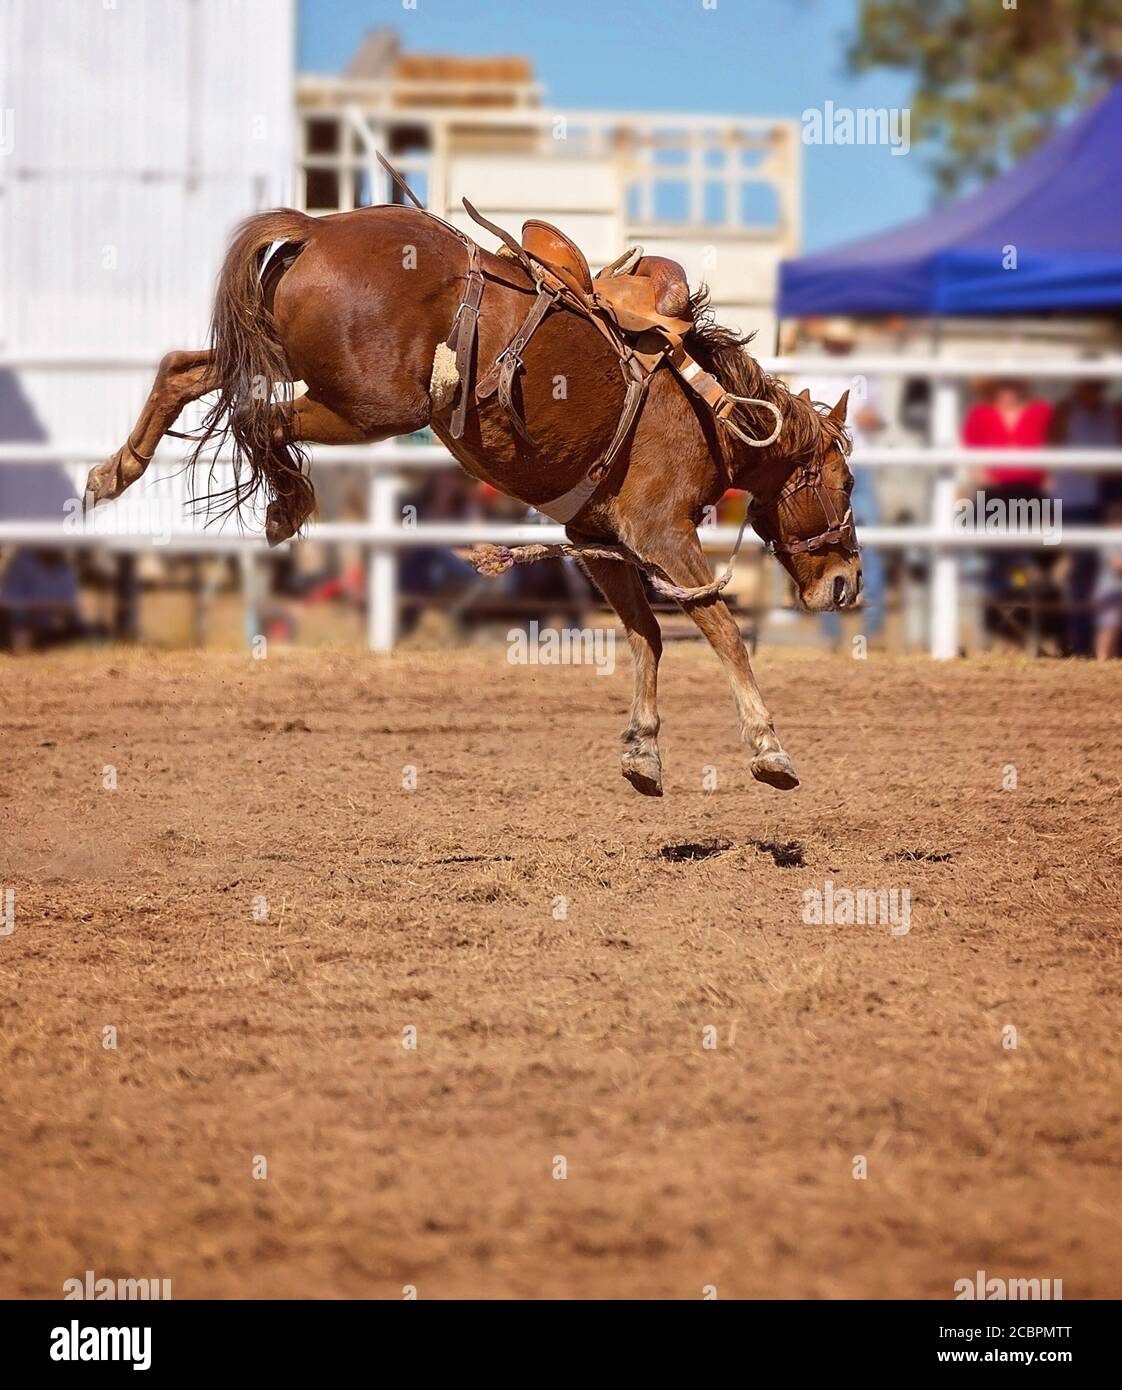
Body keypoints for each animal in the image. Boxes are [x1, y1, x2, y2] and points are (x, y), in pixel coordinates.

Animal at [84, 197, 862, 797]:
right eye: (848, 482)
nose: (847, 583)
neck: (717, 412)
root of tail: (316, 227)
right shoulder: (658, 531)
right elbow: (721, 628)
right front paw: (769, 750)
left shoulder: (599, 539)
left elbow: (646, 635)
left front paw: (643, 751)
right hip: (368, 405)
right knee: (258, 418)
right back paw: (284, 502)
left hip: (278, 352)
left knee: (185, 370)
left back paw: (116, 472)